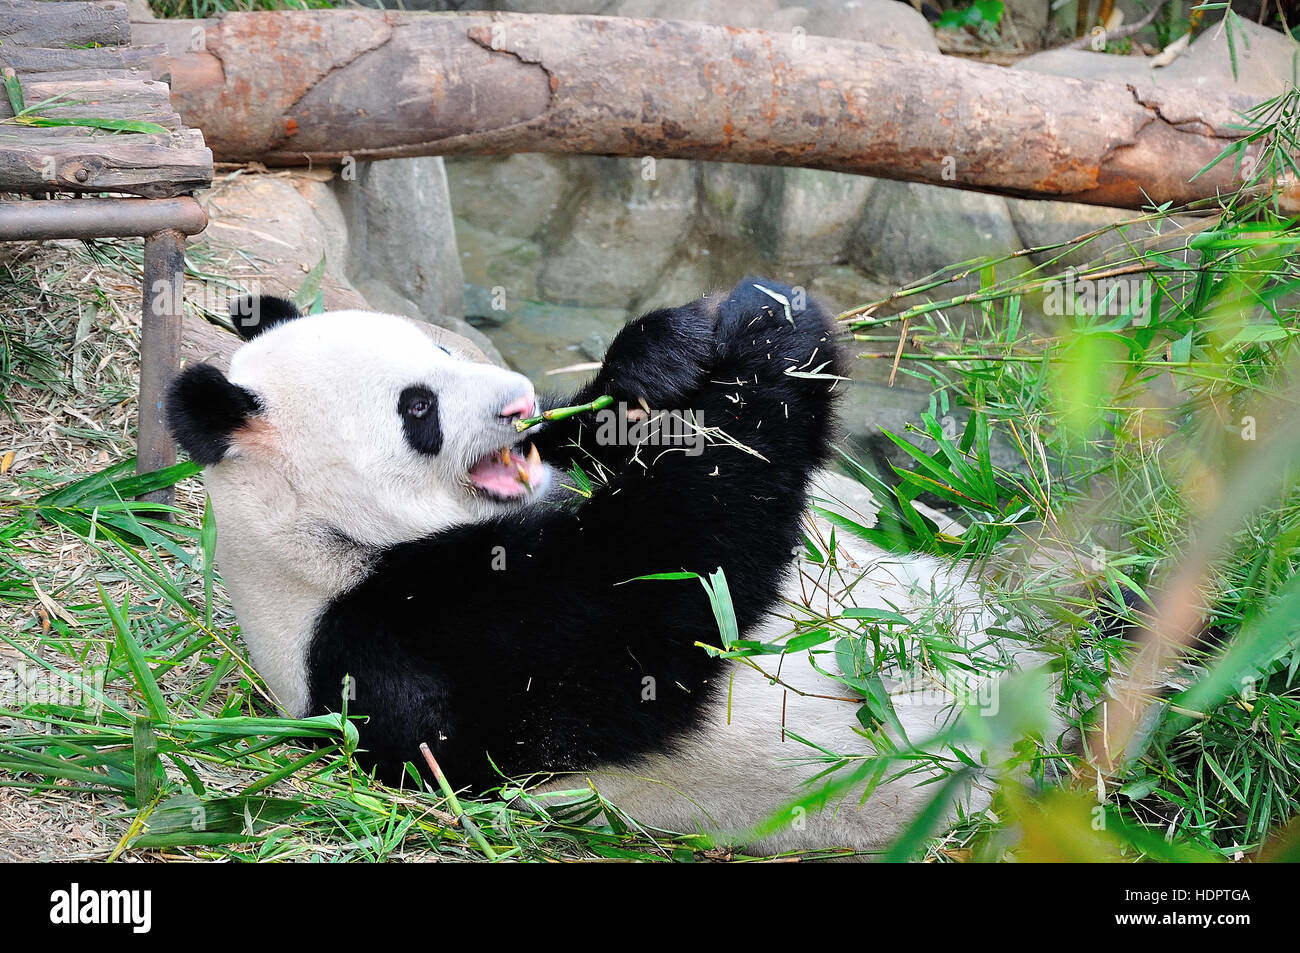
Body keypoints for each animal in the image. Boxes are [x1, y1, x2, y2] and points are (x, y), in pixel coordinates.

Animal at [166, 277, 1037, 855]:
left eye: (443, 346)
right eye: (418, 407)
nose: (518, 400)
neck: (320, 535)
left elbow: (609, 435)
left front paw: (670, 347)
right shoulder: (408, 643)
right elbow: (675, 584)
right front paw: (770, 339)